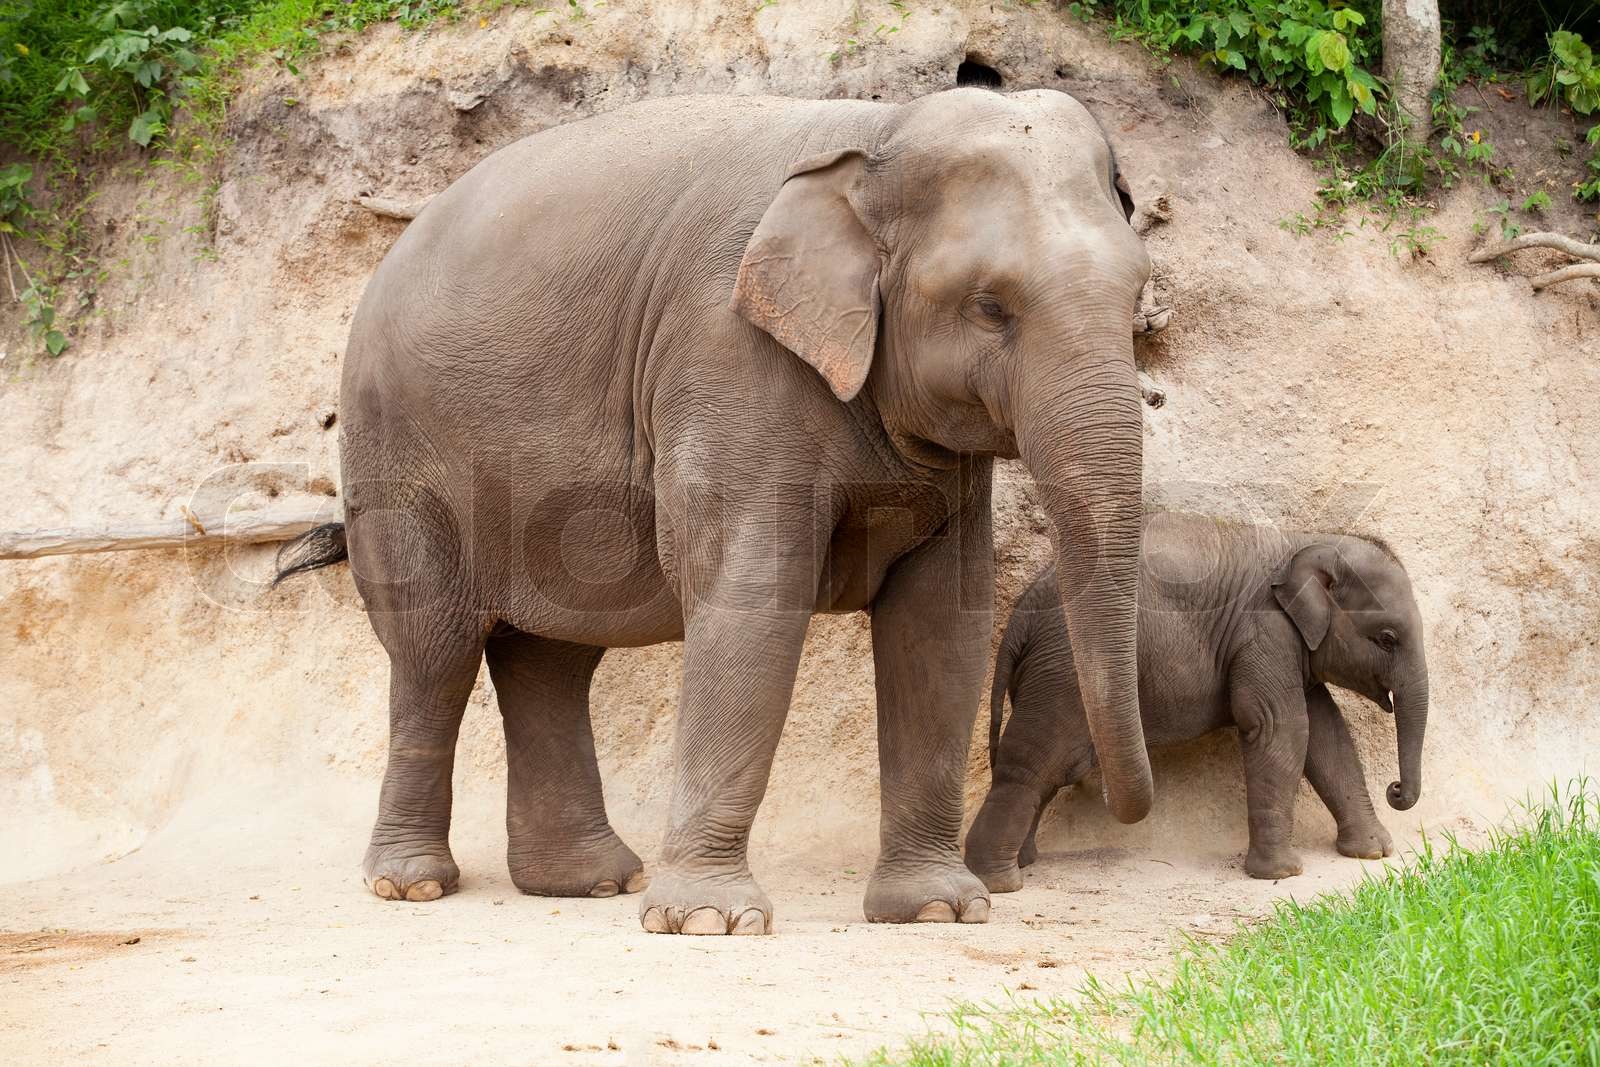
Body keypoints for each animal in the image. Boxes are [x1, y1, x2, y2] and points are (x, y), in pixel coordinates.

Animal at [276, 88, 1157, 935]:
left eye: (1138, 295)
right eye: (989, 307)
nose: (1125, 805)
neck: (876, 133)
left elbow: (941, 622)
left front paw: (936, 909)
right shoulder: (727, 357)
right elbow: (753, 599)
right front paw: (708, 919)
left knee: (549, 656)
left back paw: (589, 881)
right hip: (396, 453)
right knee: (434, 652)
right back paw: (413, 883)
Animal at [964, 512, 1428, 892]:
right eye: (1387, 638)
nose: (1395, 789)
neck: (1305, 541)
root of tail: (1020, 614)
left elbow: (1326, 733)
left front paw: (1373, 852)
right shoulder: (1263, 633)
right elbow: (1279, 728)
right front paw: (1282, 874)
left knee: (1048, 769)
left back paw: (1023, 862)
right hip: (1063, 671)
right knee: (1032, 765)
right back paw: (998, 881)